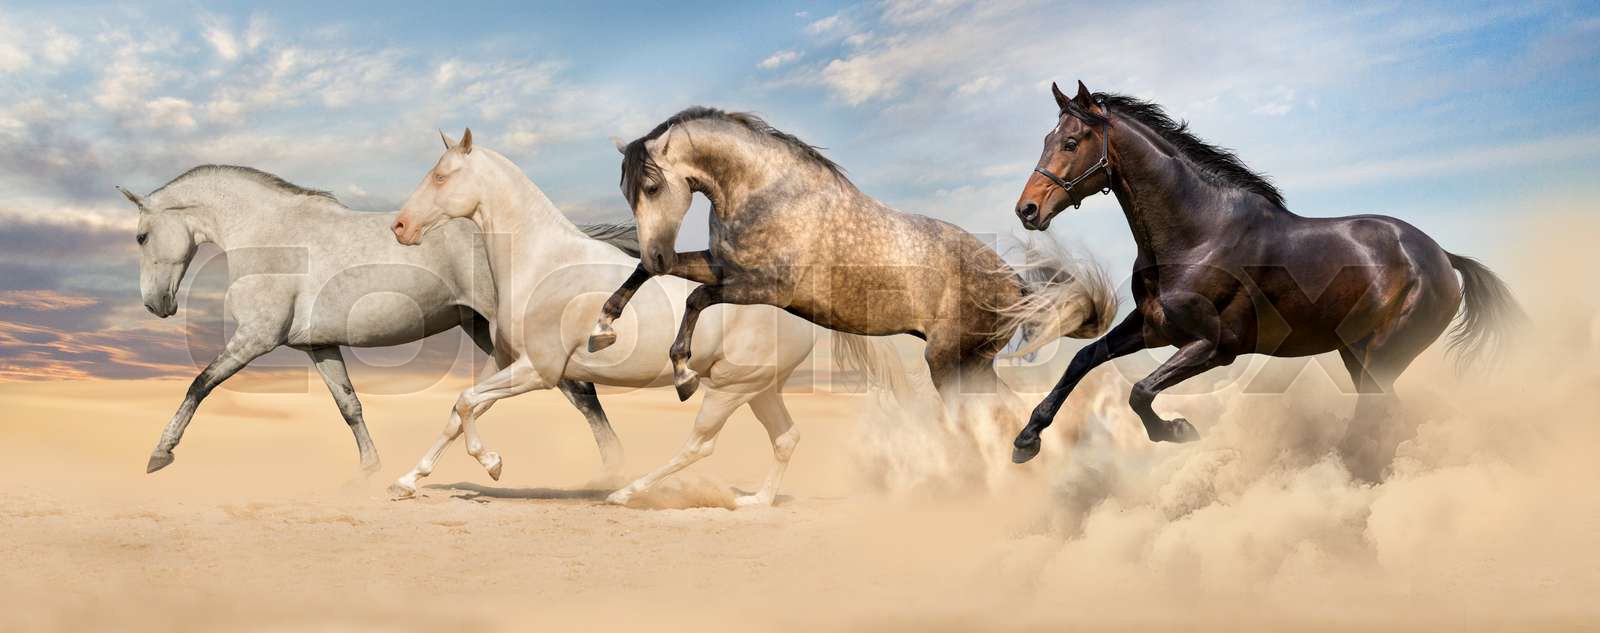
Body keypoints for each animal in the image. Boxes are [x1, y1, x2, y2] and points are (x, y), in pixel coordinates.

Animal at [118, 165, 636, 476]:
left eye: (141, 236)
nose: (156, 305)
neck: (269, 233)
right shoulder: (318, 345)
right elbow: (350, 406)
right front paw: (370, 472)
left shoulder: (255, 338)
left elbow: (199, 384)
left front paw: (160, 453)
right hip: (481, 329)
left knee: (579, 392)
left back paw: (614, 472)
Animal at [387, 129, 912, 506]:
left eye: (441, 176)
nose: (400, 227)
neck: (544, 262)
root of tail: (799, 302)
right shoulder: (506, 363)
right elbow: (460, 412)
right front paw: (407, 481)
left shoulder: (539, 370)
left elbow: (465, 404)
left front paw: (492, 462)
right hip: (758, 388)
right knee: (786, 438)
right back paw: (752, 502)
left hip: (729, 388)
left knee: (701, 444)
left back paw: (626, 493)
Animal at [585, 106, 1116, 433]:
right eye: (628, 191)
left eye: (652, 186)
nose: (657, 250)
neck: (767, 191)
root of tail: (1015, 282)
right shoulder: (725, 268)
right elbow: (648, 274)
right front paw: (602, 330)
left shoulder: (766, 287)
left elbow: (694, 298)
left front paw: (684, 377)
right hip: (971, 362)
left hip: (949, 360)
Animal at [1008, 81, 1525, 477]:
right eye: (1046, 138)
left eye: (1072, 142)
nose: (1027, 210)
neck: (1199, 234)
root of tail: (1442, 257)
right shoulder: (1153, 327)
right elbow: (1083, 359)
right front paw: (1027, 439)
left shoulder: (1215, 346)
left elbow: (1140, 392)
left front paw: (1179, 431)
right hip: (1356, 355)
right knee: (1384, 416)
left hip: (1383, 355)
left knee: (1376, 415)